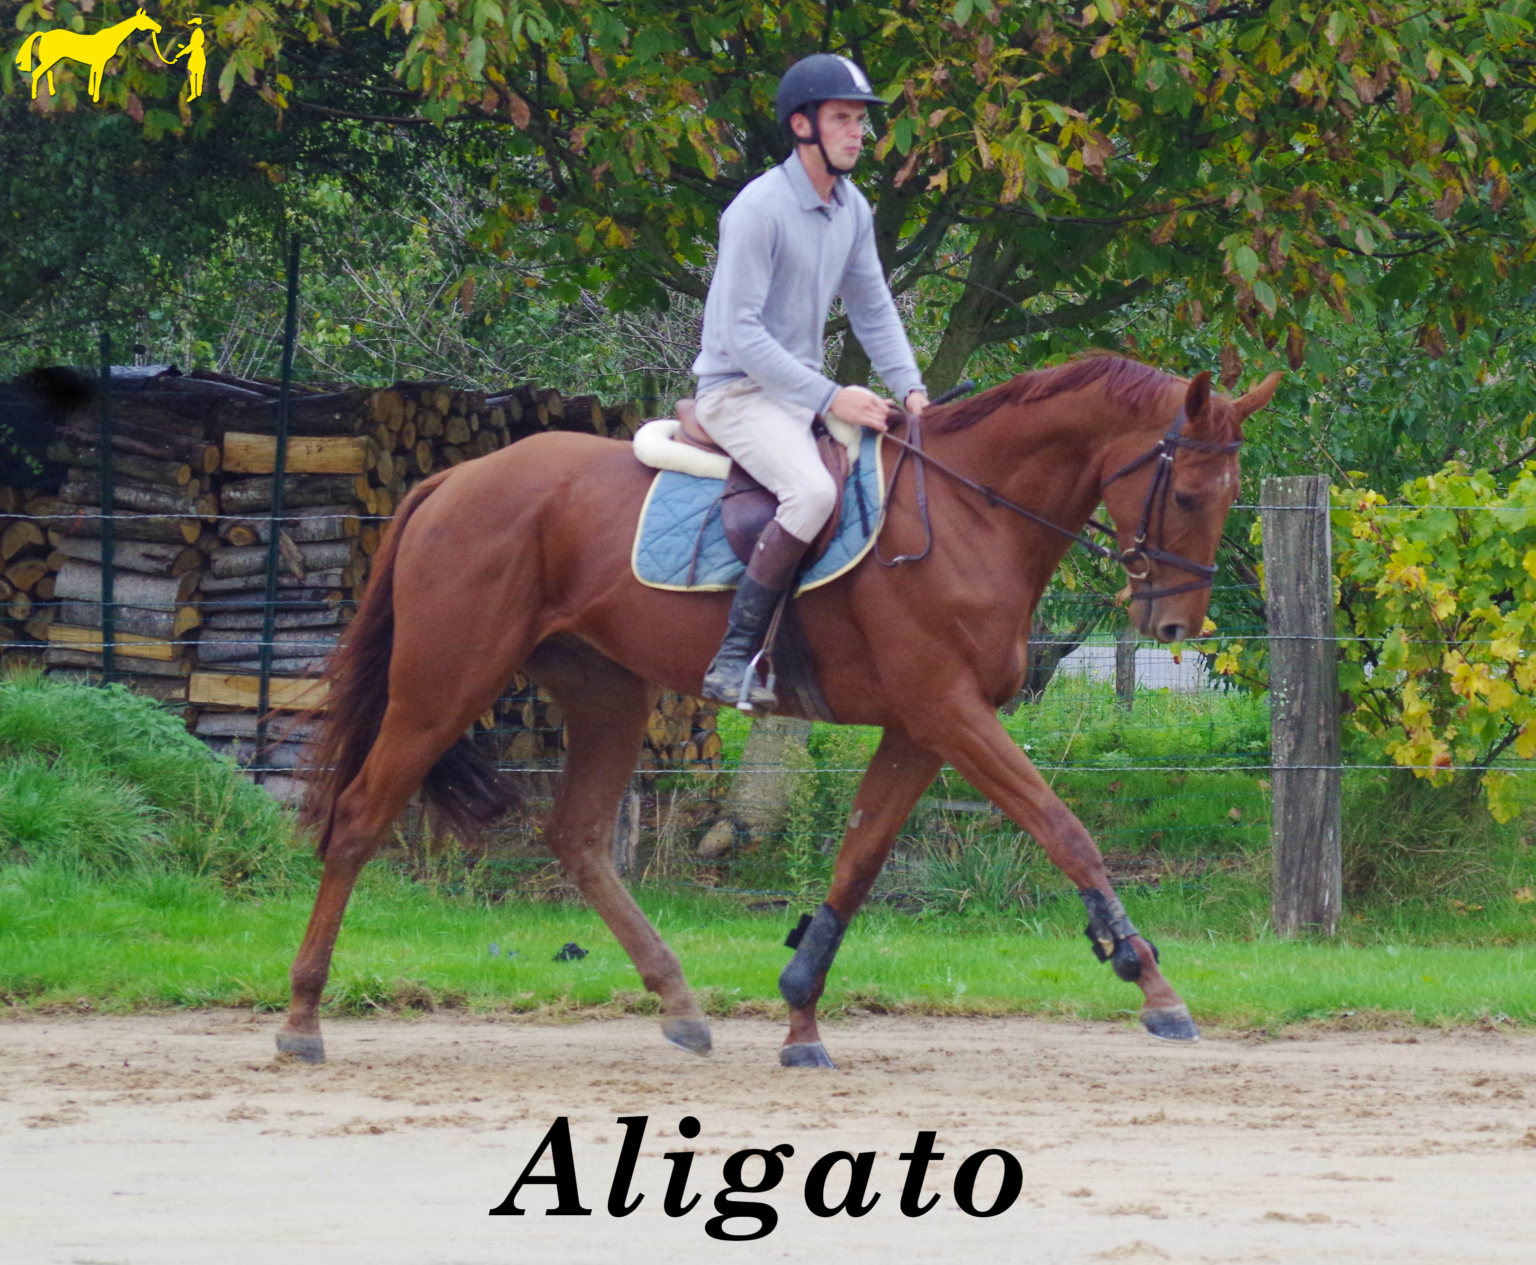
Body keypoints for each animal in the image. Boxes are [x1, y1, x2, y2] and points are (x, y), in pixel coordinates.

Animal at [14, 7, 160, 102]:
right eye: (146, 19)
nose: (158, 29)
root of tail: (43, 35)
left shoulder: (96, 63)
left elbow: (93, 77)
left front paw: (91, 94)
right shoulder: (101, 62)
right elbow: (98, 79)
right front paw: (95, 97)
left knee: (49, 73)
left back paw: (52, 93)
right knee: (37, 73)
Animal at [277, 355, 1281, 1067]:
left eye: (1231, 497)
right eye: (1190, 492)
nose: (1176, 623)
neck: (967, 513)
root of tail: (451, 481)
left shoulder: (920, 728)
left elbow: (858, 860)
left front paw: (801, 1009)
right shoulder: (950, 713)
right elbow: (1063, 827)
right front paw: (1145, 976)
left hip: (606, 691)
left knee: (579, 836)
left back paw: (680, 1003)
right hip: (441, 686)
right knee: (358, 819)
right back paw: (302, 1015)